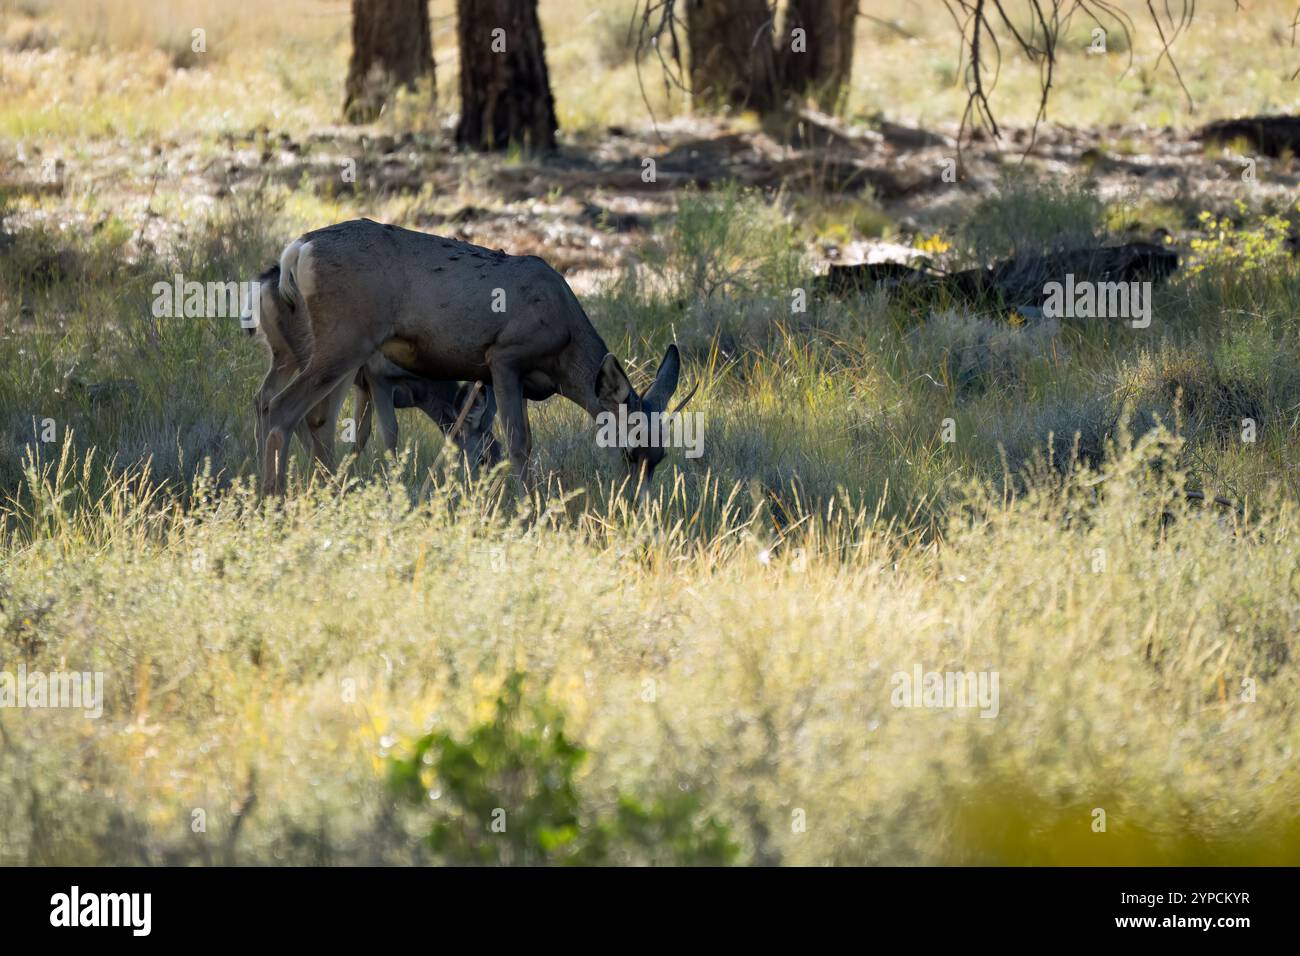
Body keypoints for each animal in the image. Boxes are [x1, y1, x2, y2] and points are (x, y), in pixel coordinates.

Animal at [245, 262, 501, 477]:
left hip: (283, 353)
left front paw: (350, 472)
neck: (423, 389)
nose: (488, 489)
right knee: (299, 411)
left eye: (499, 454)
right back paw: (317, 467)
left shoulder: (364, 386)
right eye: (484, 457)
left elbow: (361, 434)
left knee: (264, 398)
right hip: (311, 351)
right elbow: (390, 432)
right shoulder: (379, 376)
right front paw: (394, 479)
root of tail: (265, 283)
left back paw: (262, 464)